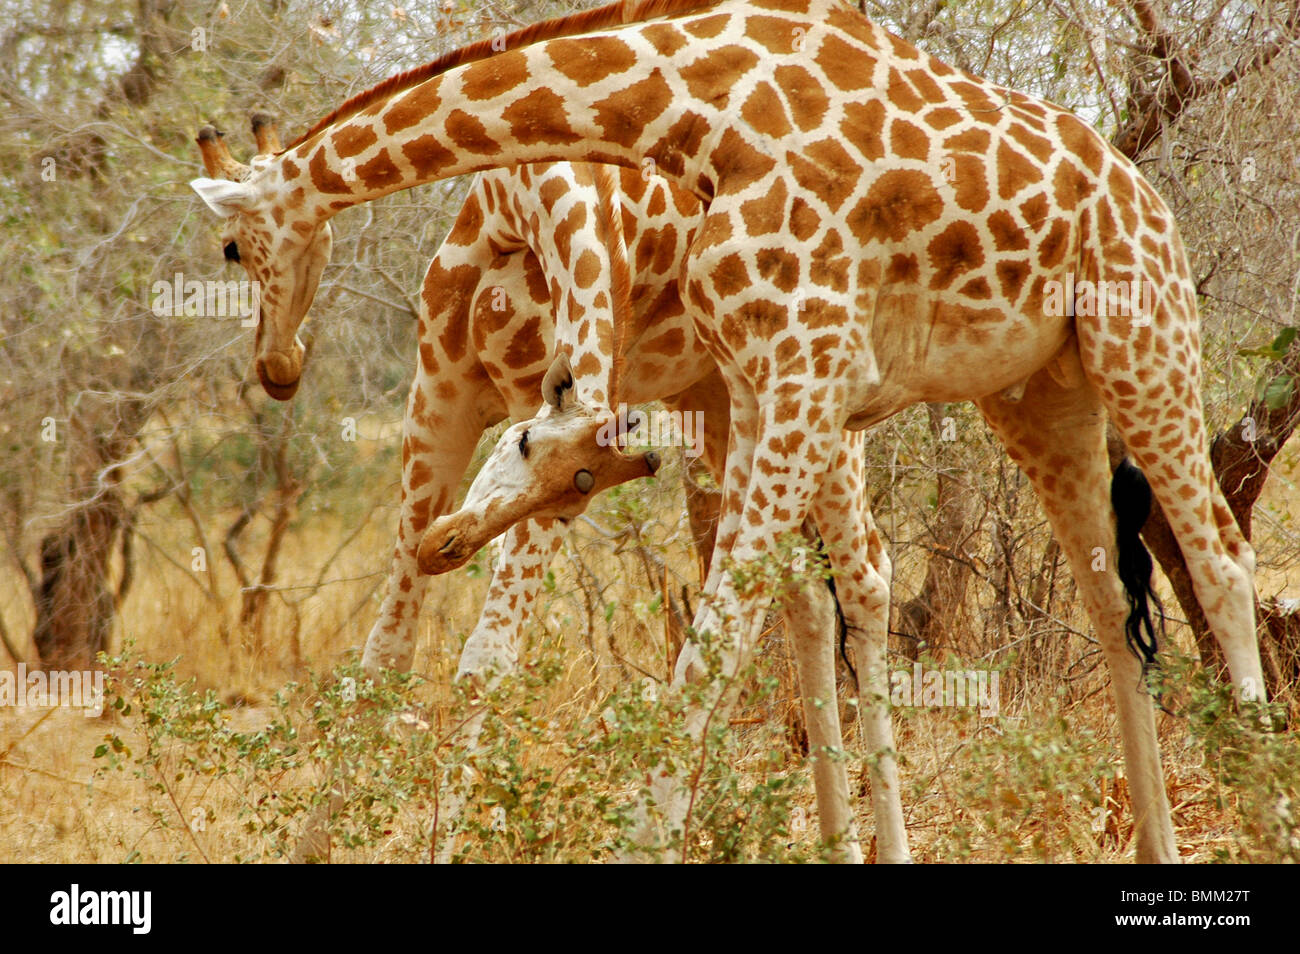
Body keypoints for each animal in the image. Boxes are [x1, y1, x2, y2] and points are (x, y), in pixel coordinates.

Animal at [187, 0, 1265, 862]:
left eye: (231, 246)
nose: (277, 368)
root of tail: (1143, 192)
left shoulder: (794, 371)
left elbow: (645, 664)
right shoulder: (475, 400)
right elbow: (386, 662)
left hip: (1140, 343)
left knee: (1212, 557)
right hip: (1038, 396)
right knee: (1096, 592)